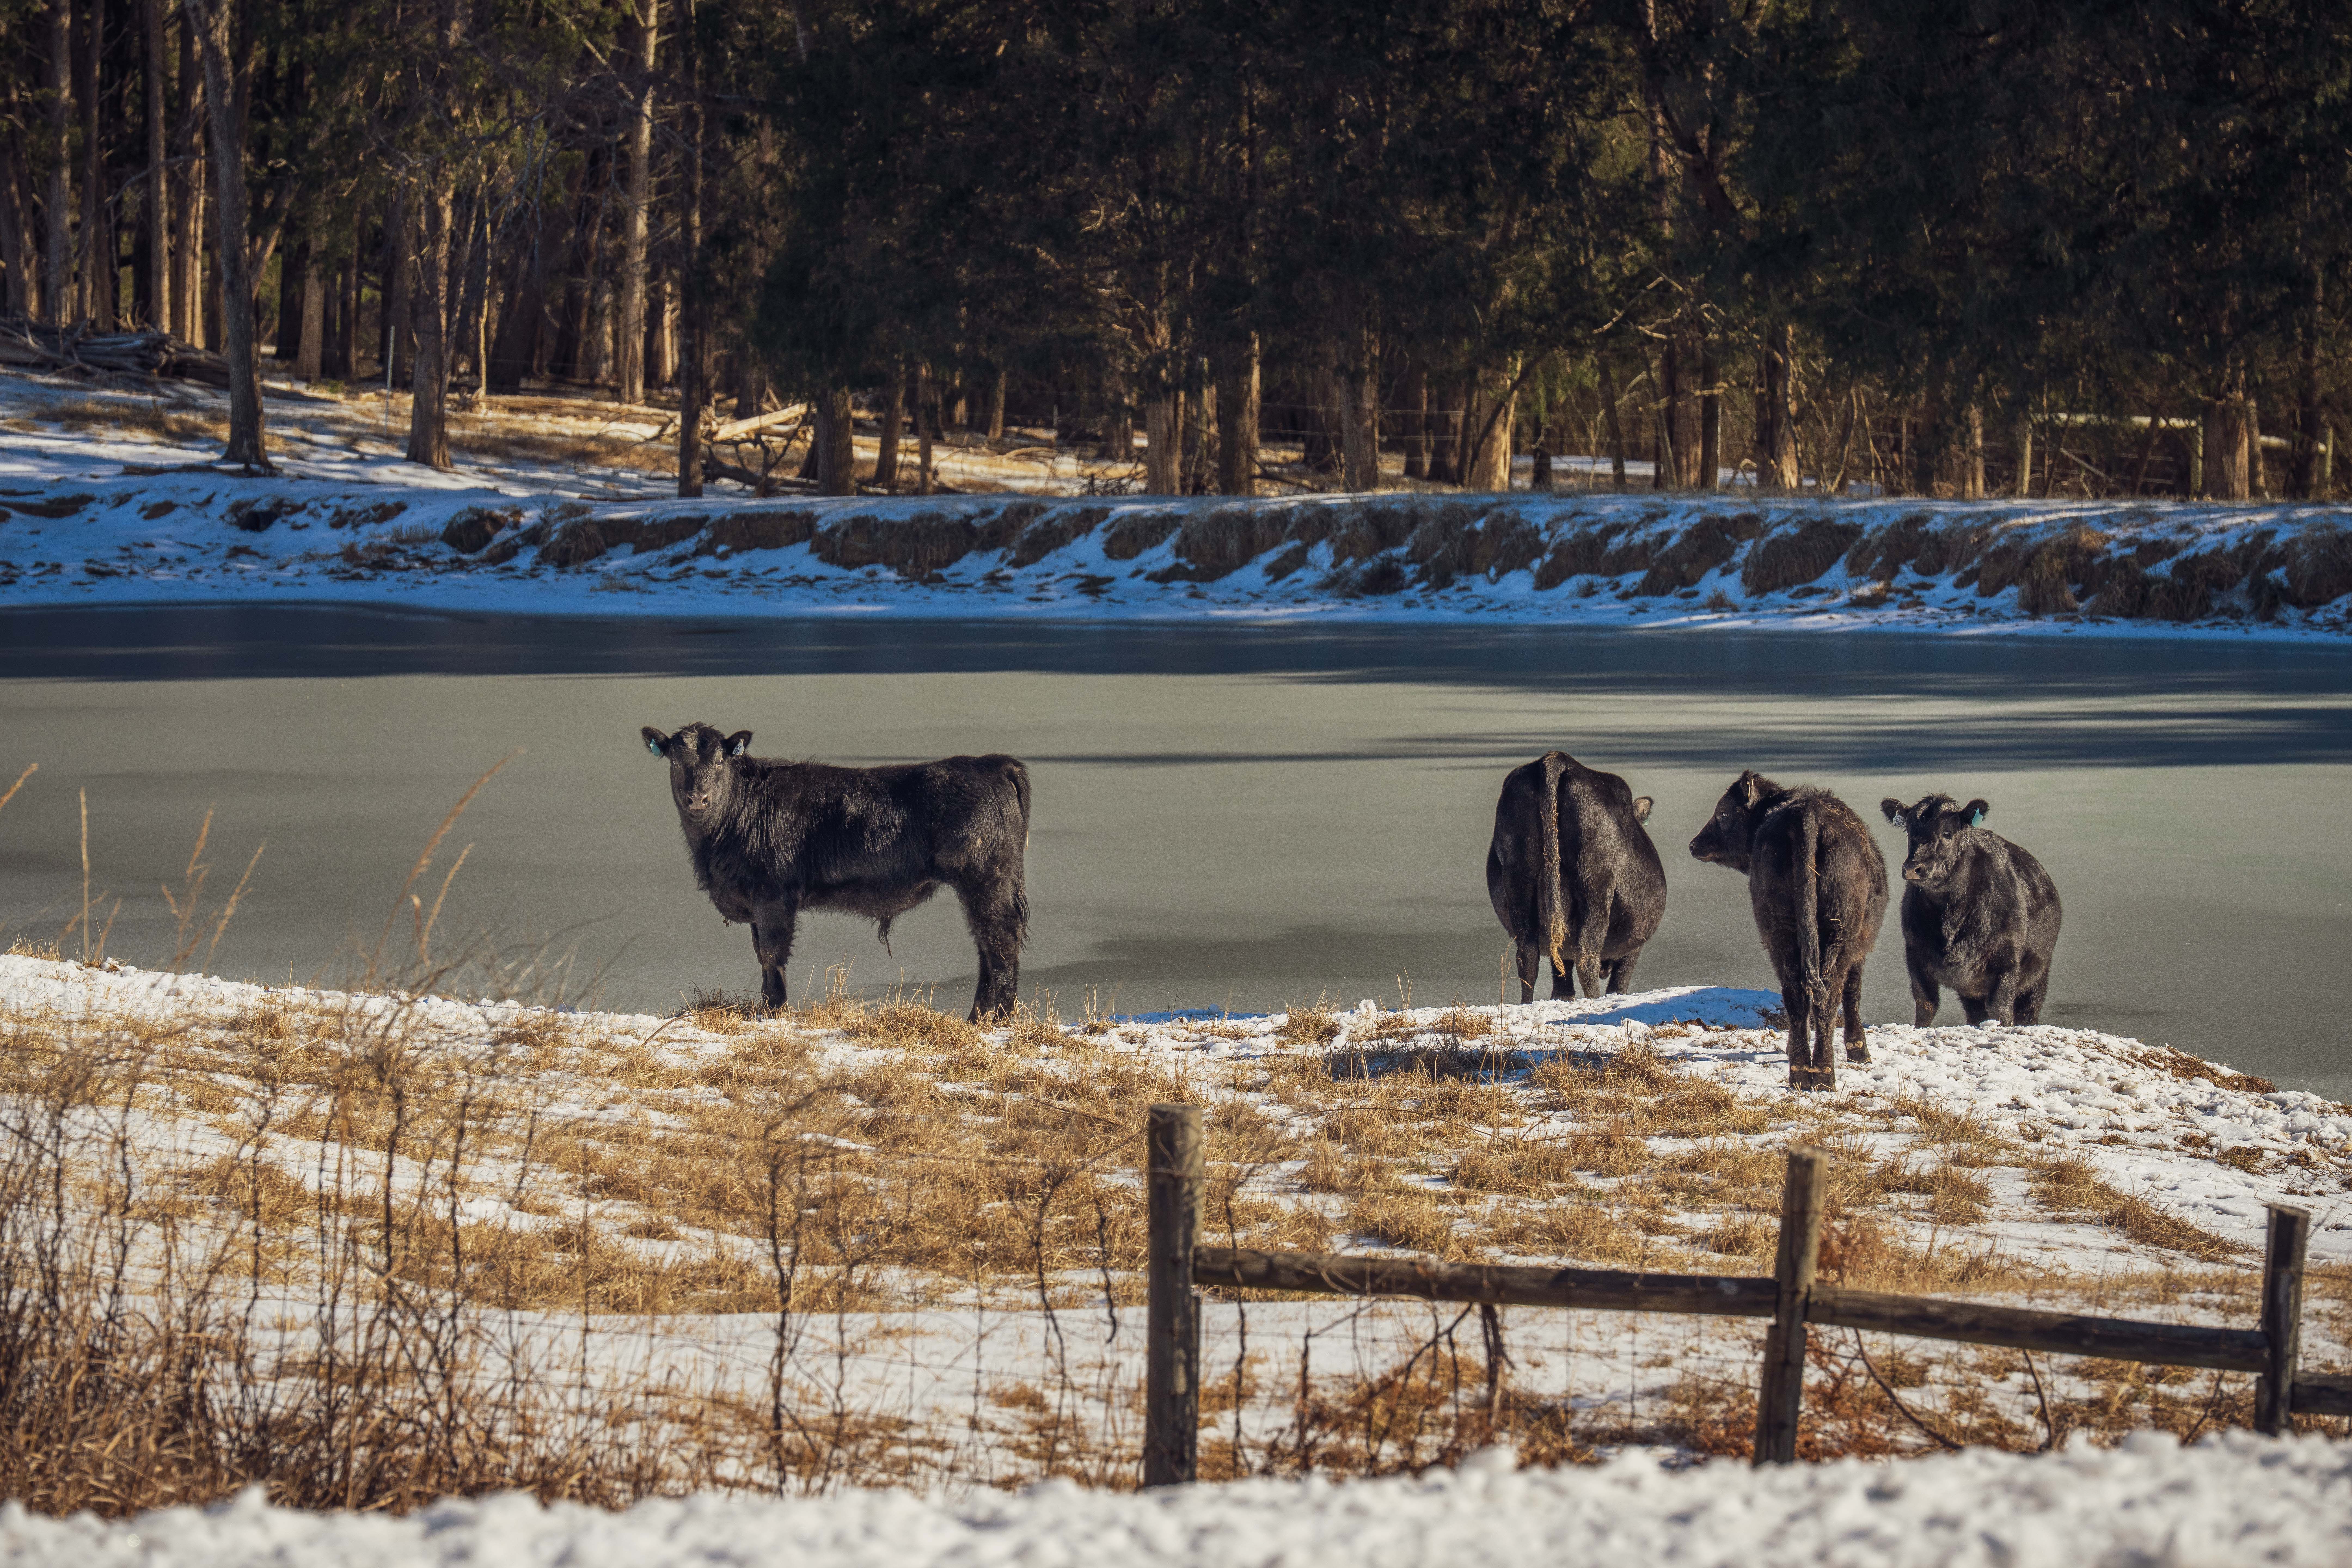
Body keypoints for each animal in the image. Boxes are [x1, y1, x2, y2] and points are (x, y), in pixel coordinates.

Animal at [640, 721, 1031, 1020]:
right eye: (675, 761)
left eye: (721, 760)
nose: (698, 799)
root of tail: (992, 764)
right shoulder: (756, 902)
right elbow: (761, 954)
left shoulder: (773, 896)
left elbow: (772, 954)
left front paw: (774, 1011)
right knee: (986, 943)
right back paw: (980, 1017)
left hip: (985, 878)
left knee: (1000, 939)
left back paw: (995, 1018)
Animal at [1486, 752, 1665, 1003]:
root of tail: (1558, 759)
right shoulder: (1636, 944)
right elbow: (1620, 980)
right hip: (1595, 882)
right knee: (1587, 953)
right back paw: (1594, 1000)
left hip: (1519, 876)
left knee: (1528, 954)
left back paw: (1527, 1002)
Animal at [1688, 771, 1888, 1091]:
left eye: (1724, 813)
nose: (1694, 845)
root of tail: (1807, 813)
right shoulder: (1860, 948)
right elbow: (1853, 992)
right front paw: (1859, 1051)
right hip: (1840, 932)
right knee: (1828, 995)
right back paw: (1824, 1074)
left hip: (1780, 932)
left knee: (1797, 995)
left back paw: (1800, 1072)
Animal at [1880, 794, 2061, 1027]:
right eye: (1910, 831)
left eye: (1947, 832)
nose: (1913, 868)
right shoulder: (1915, 953)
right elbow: (1925, 1004)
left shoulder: (2008, 959)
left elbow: (2000, 1008)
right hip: (1971, 991)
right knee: (1975, 1013)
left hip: (2039, 975)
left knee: (2028, 1011)